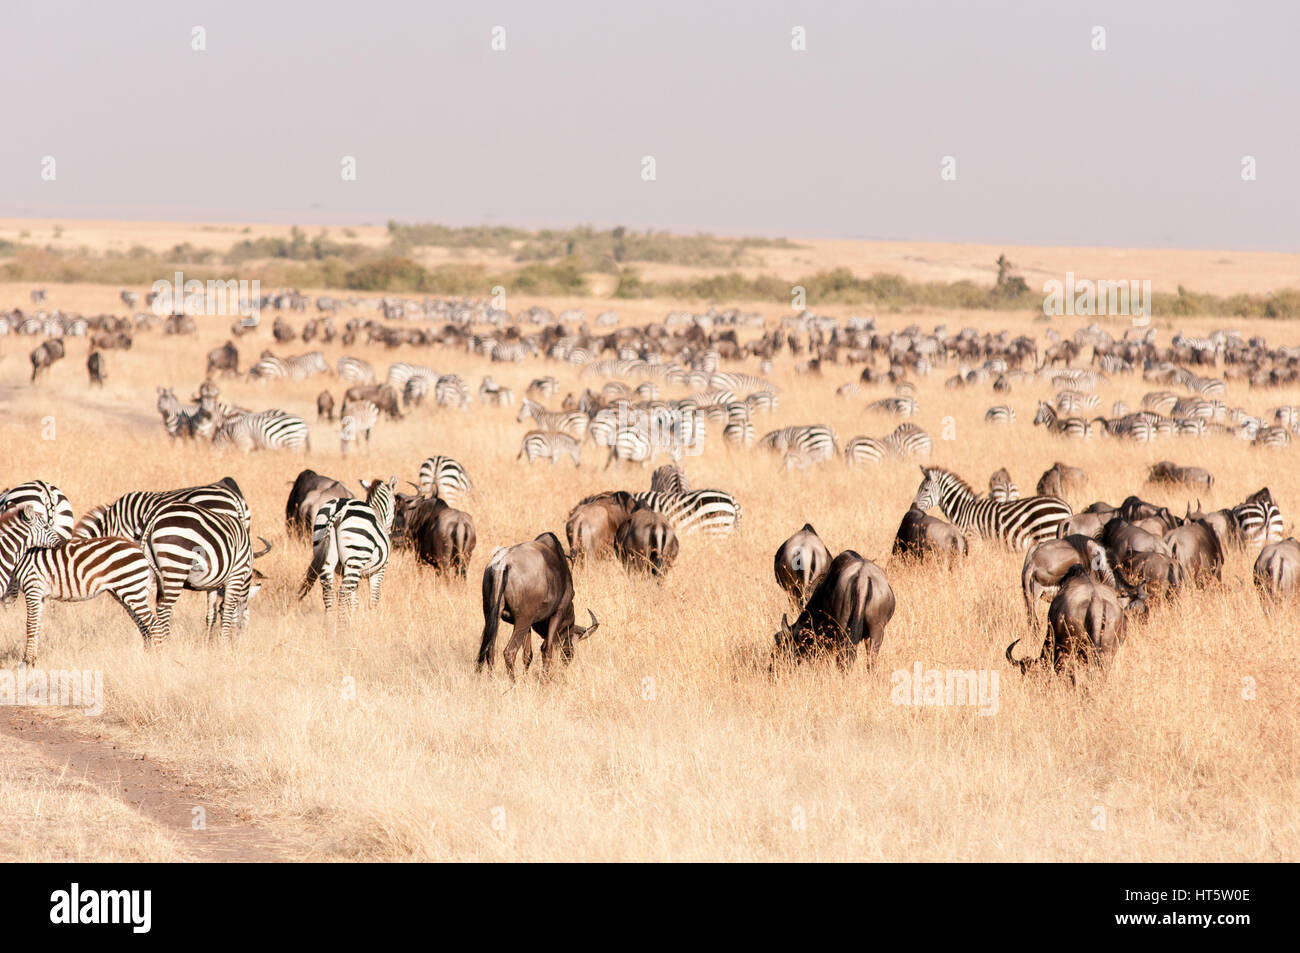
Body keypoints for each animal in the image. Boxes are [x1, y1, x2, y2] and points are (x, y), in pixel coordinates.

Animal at [0, 507, 157, 664]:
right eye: (45, 527)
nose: (61, 543)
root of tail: (137, 547)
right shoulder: (39, 594)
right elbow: (37, 624)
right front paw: (32, 659)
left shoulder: (33, 588)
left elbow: (30, 624)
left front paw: (27, 660)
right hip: (127, 591)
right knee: (142, 624)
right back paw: (147, 655)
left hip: (132, 589)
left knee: (154, 624)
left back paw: (157, 656)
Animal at [297, 478, 397, 612]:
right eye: (395, 504)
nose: (389, 531)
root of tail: (338, 510)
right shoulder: (379, 570)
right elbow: (374, 599)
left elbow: (354, 600)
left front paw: (353, 616)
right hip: (356, 558)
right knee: (342, 592)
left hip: (326, 552)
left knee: (328, 592)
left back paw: (330, 618)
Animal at [912, 467, 1072, 550]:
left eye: (925, 490)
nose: (913, 506)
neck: (963, 509)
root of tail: (1065, 506)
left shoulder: (974, 539)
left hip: (1046, 534)